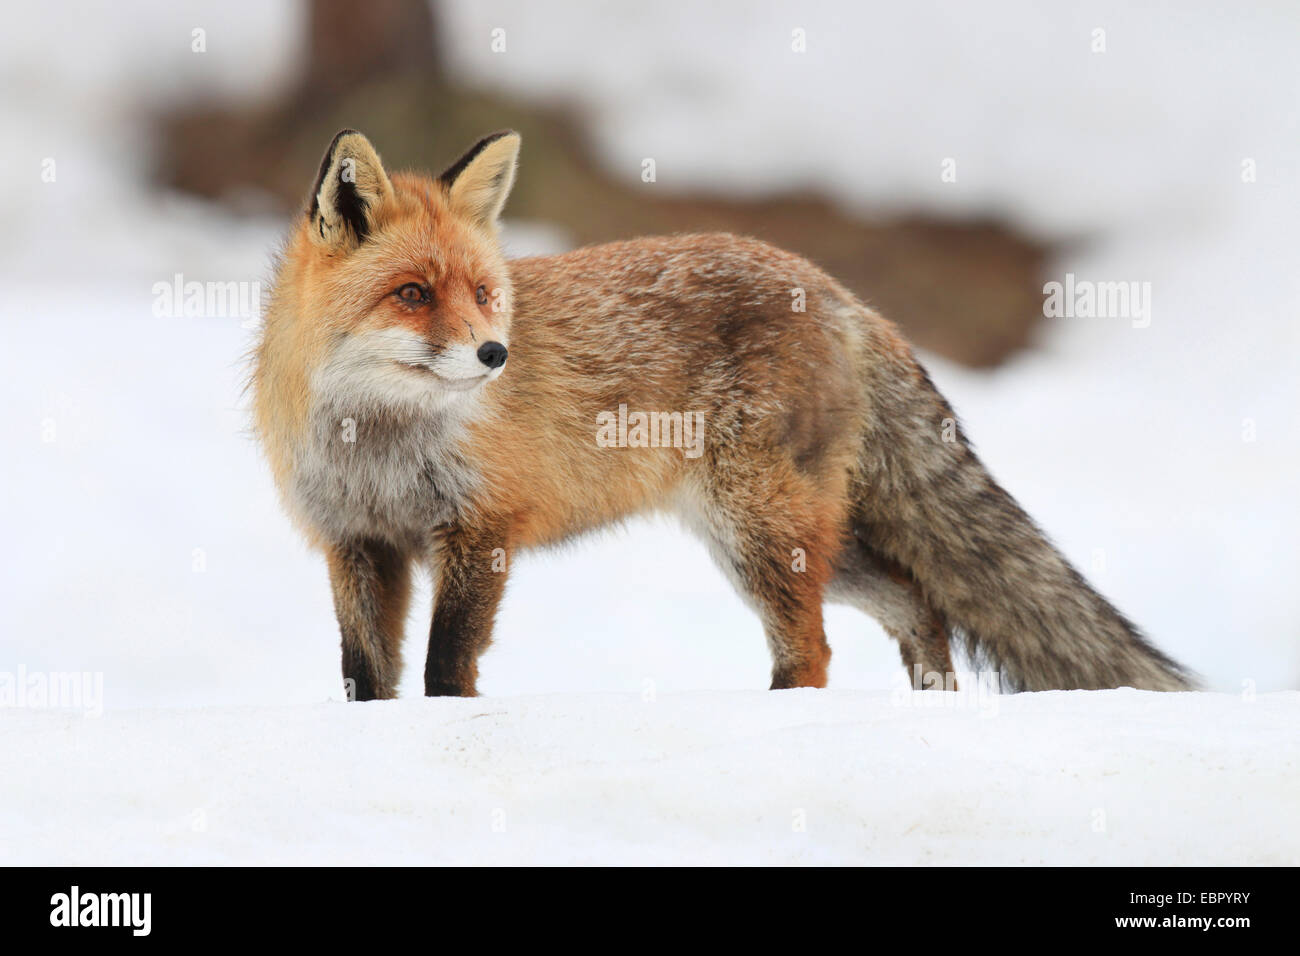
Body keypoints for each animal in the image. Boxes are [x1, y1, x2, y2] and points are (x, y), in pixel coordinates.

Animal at [251, 128, 1195, 700]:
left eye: (484, 294)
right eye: (413, 294)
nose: (494, 356)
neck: (377, 442)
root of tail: (841, 293)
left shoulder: (480, 531)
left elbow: (447, 667)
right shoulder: (356, 542)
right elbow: (365, 675)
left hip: (758, 532)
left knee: (813, 650)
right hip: (788, 543)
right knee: (919, 605)